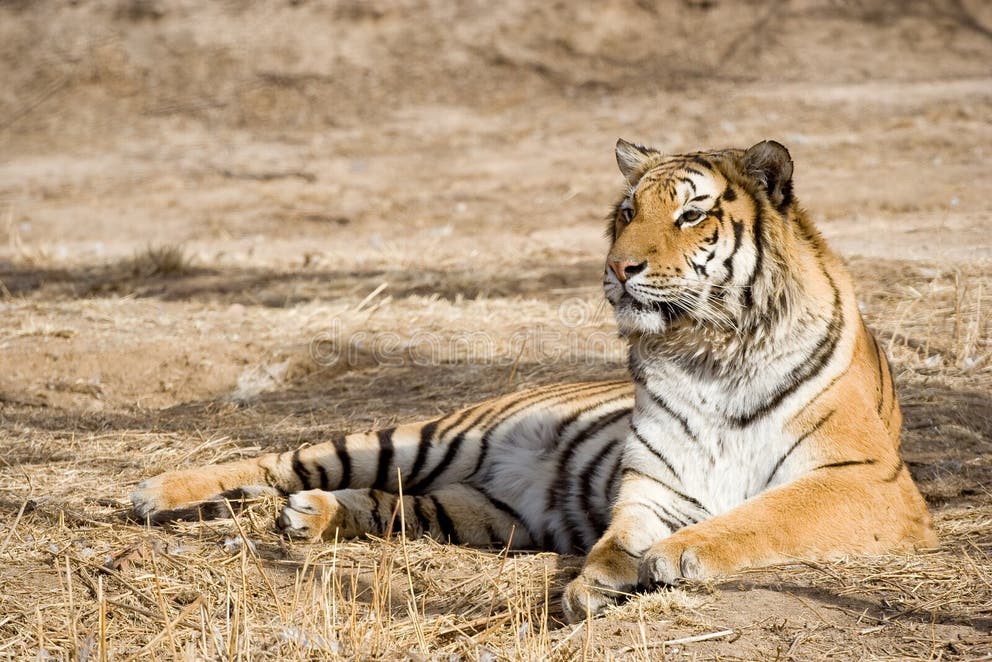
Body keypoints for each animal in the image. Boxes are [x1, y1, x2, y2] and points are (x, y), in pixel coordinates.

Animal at [130, 139, 936, 624]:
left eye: (690, 214)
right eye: (626, 212)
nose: (618, 267)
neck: (708, 347)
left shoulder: (866, 479)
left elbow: (770, 512)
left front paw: (669, 557)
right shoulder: (657, 486)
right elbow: (617, 539)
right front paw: (598, 581)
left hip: (481, 513)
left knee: (392, 506)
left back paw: (311, 516)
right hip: (421, 440)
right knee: (277, 461)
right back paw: (155, 492)